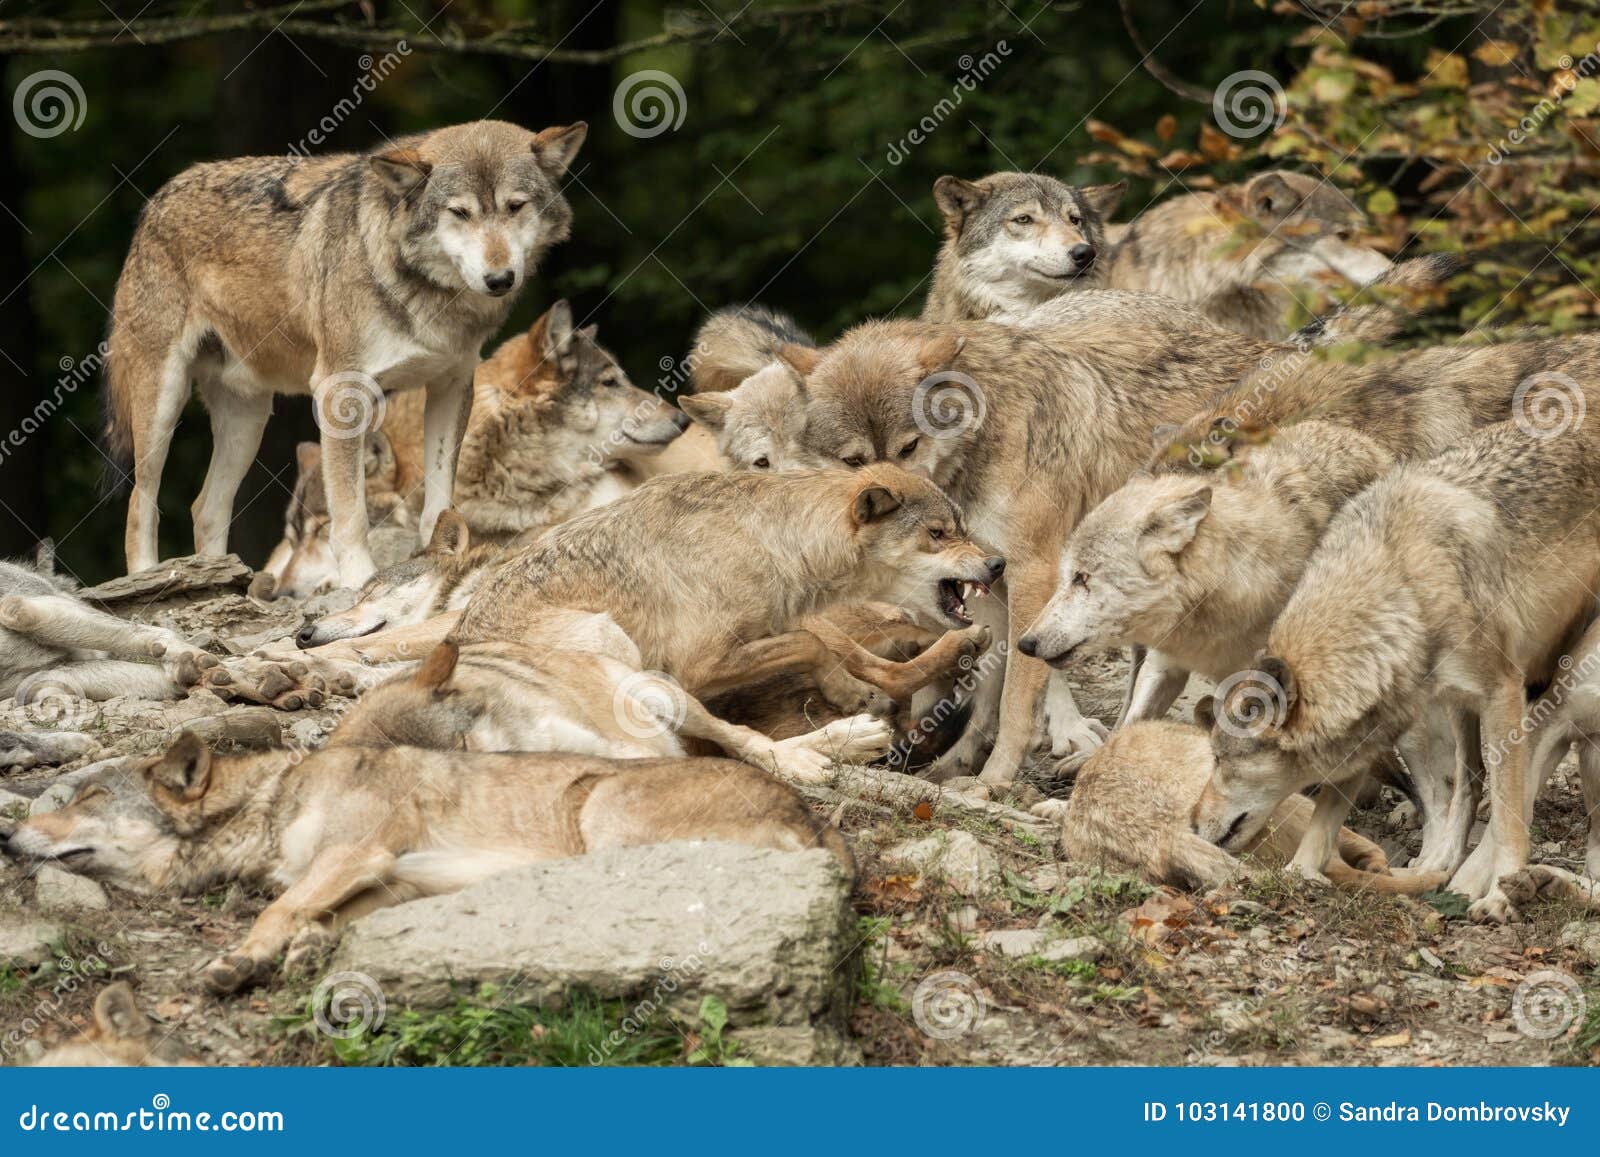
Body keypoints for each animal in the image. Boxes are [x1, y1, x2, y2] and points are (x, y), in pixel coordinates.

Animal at [1, 730, 852, 994]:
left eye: (85, 796)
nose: (9, 839)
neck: (268, 806)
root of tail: (816, 818)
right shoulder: (396, 876)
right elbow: (324, 916)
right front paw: (304, 951)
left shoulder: (360, 850)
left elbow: (280, 906)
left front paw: (239, 960)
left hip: (601, 809)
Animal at [105, 119, 587, 588]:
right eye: (460, 213)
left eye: (515, 206)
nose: (499, 278)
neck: (424, 291)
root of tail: (158, 199)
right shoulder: (341, 392)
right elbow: (350, 514)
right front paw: (359, 581)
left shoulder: (450, 385)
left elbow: (438, 503)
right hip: (162, 407)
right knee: (139, 507)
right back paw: (148, 581)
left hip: (248, 421)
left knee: (204, 508)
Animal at [1190, 421, 1600, 923]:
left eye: (1218, 760)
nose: (1190, 823)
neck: (1403, 590)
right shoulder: (1379, 725)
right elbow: (1324, 820)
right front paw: (1298, 873)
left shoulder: (1503, 693)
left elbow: (1508, 818)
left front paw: (1503, 892)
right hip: (1460, 710)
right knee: (1467, 787)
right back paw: (1443, 867)